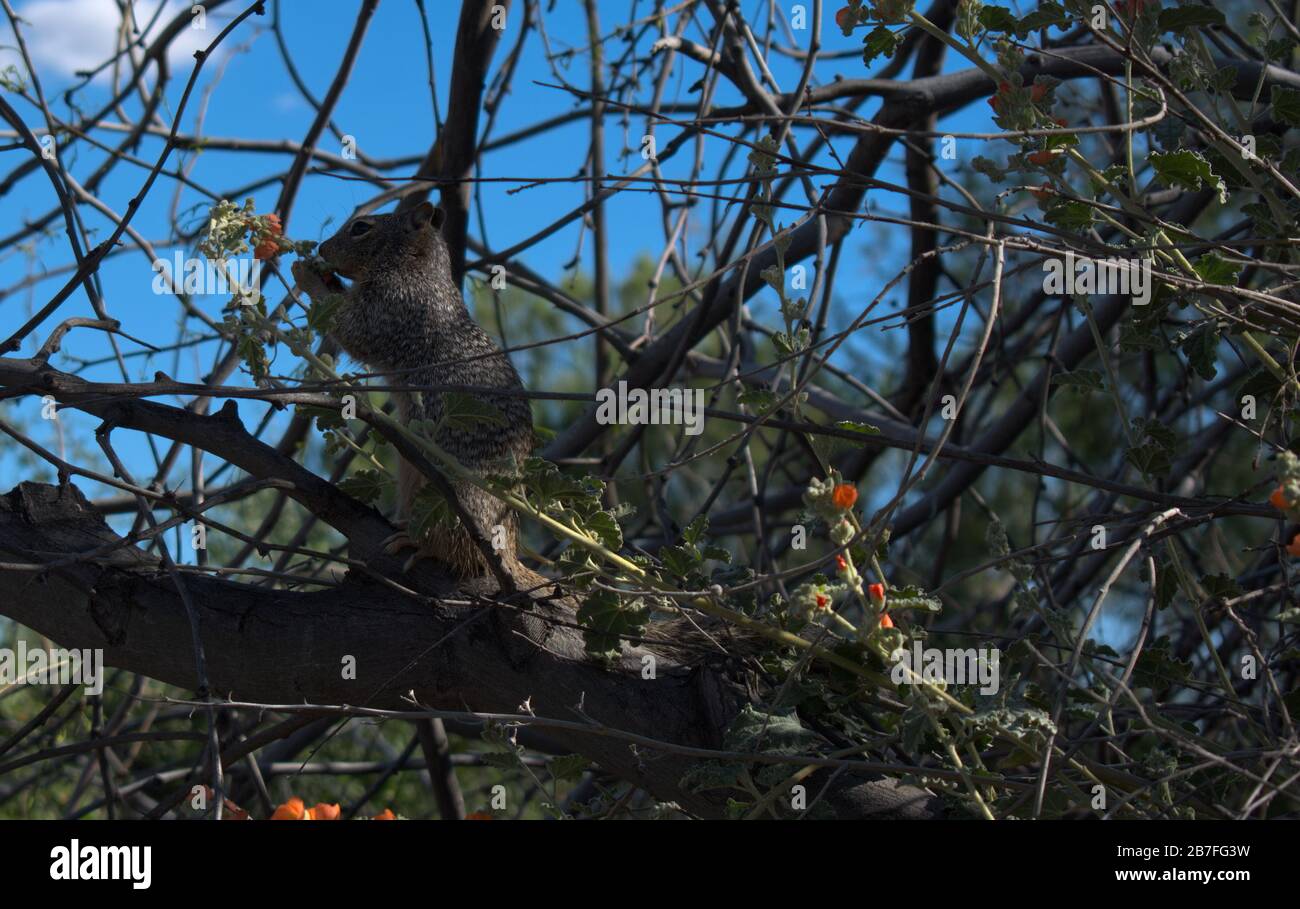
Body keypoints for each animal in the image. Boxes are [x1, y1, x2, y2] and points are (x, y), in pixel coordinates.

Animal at [291, 202, 546, 593]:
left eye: (361, 228)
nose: (321, 248)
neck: (415, 267)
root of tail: (510, 550)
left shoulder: (393, 309)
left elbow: (352, 329)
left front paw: (305, 273)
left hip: (451, 500)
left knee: (460, 551)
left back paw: (419, 544)